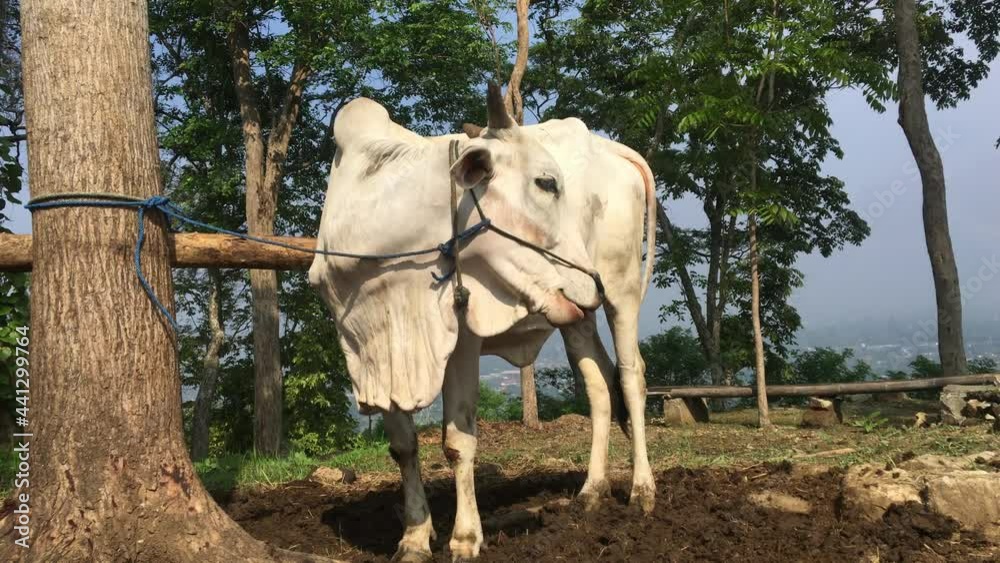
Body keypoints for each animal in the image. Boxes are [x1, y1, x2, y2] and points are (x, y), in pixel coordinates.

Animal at [308, 84, 656, 562]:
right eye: (546, 182)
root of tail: (613, 149)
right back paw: (591, 491)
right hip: (575, 315)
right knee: (600, 385)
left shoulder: (462, 341)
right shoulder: (370, 353)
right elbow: (403, 446)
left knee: (631, 376)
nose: (593, 281)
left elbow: (458, 443)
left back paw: (642, 490)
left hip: (622, 291)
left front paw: (465, 537)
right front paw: (414, 537)